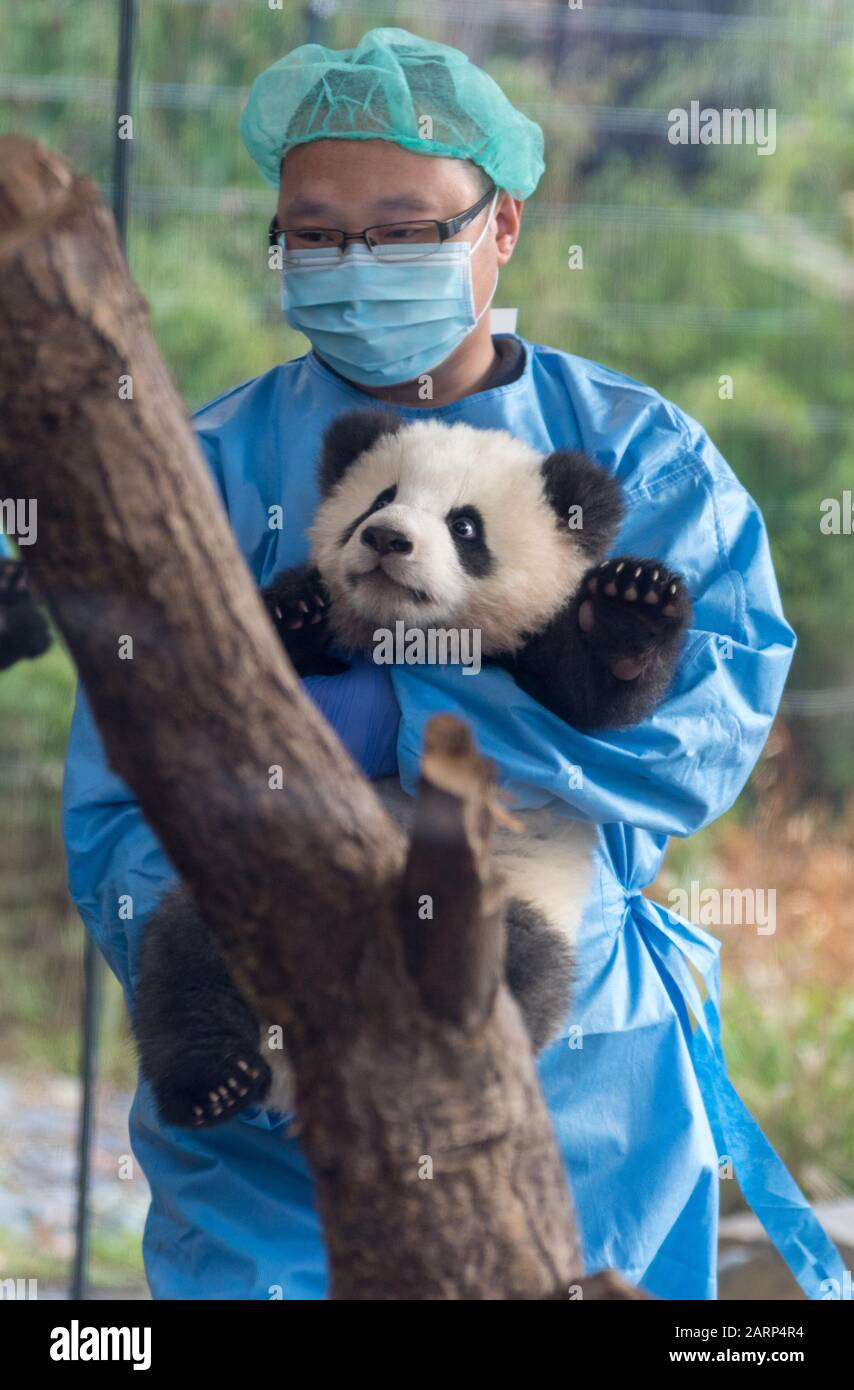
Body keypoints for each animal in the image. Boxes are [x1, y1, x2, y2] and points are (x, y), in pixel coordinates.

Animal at [134, 409, 691, 1128]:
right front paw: (296, 611)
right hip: (246, 886)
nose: (386, 538)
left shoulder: (532, 669)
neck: (410, 643)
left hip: (504, 895)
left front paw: (632, 605)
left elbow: (591, 705)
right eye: (379, 500)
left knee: (518, 968)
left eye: (465, 526)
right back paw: (213, 1083)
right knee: (183, 966)